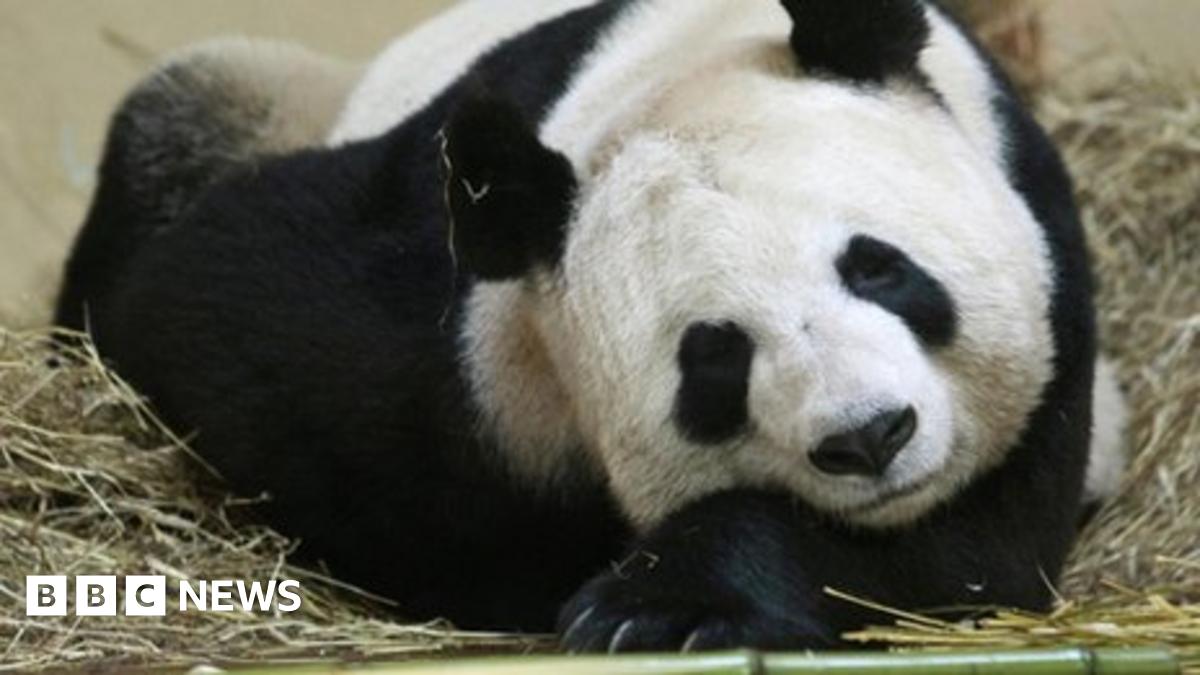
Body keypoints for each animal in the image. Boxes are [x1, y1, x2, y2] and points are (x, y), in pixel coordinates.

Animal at [56, 0, 1127, 652]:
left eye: (878, 265)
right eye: (714, 356)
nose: (867, 436)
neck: (674, 79)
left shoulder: (1053, 299)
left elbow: (972, 554)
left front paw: (653, 606)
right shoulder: (448, 302)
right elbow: (206, 306)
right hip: (262, 96)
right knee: (168, 121)